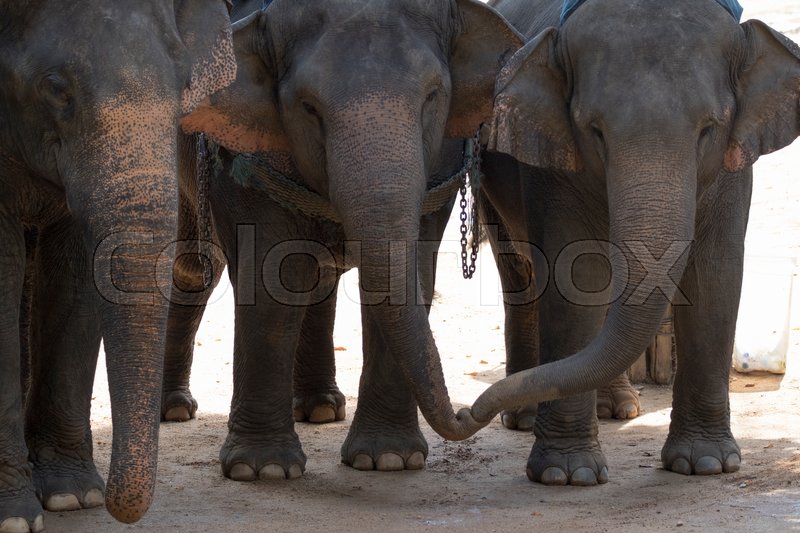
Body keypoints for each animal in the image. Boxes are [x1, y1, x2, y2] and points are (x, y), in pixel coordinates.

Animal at [0, 1, 235, 531]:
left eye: (184, 86)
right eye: (55, 87)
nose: (117, 506)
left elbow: (73, 270)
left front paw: (72, 497)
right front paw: (16, 516)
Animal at [179, 0, 523, 479]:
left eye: (433, 95)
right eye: (308, 107)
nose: (467, 411)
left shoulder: (441, 165)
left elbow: (412, 273)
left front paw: (389, 459)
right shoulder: (241, 157)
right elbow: (270, 281)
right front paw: (262, 470)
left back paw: (321, 408)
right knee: (192, 271)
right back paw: (174, 410)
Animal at [462, 0, 800, 486]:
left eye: (708, 128)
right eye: (595, 130)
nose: (467, 415)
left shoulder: (734, 165)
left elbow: (714, 275)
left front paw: (707, 465)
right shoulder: (554, 163)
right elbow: (576, 277)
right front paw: (568, 475)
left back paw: (617, 409)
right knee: (520, 275)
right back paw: (526, 419)